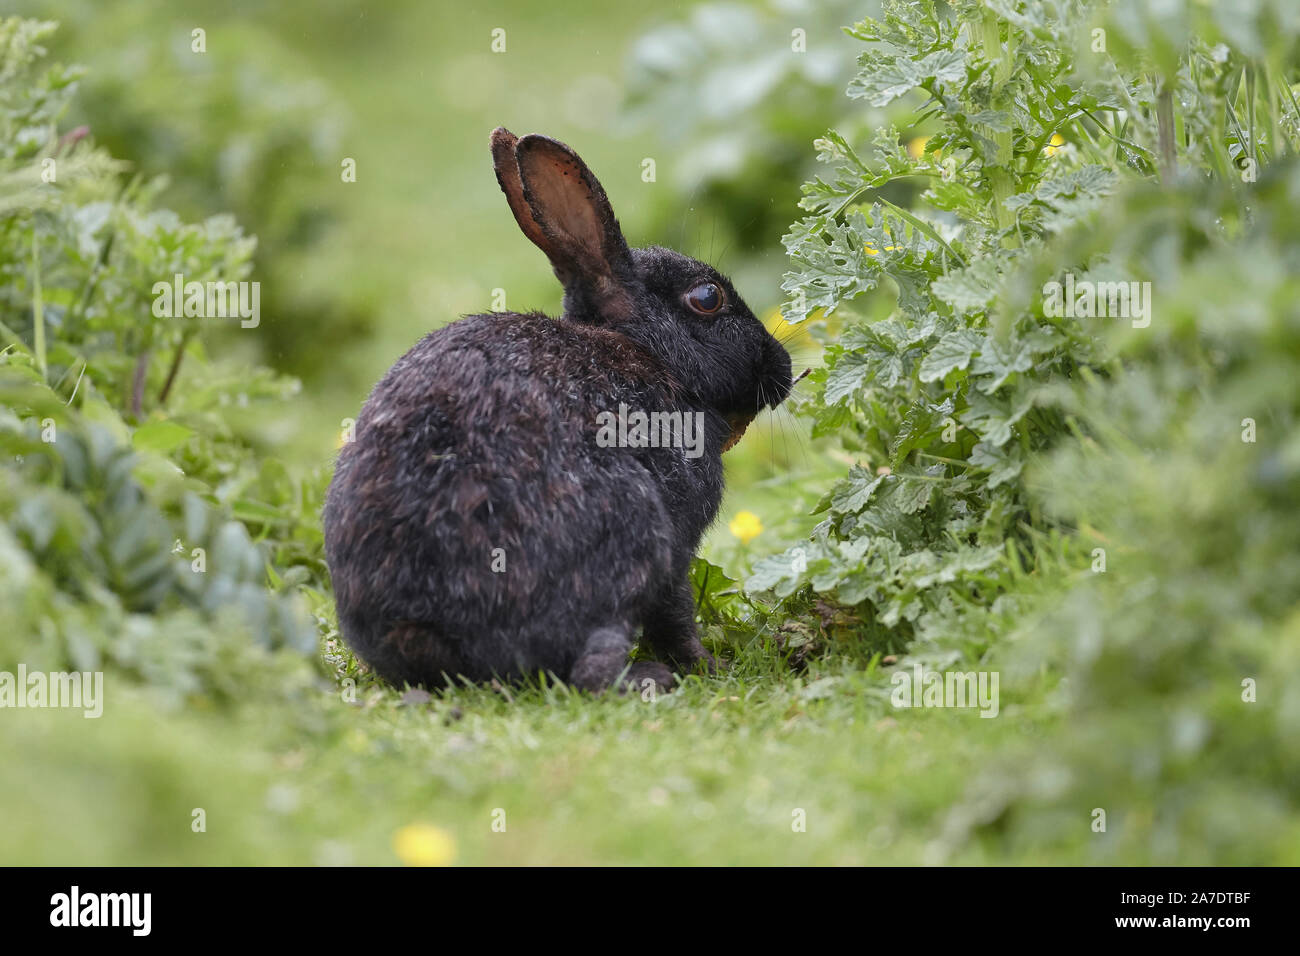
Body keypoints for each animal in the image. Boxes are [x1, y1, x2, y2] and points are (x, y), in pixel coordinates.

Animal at [325, 128, 790, 697]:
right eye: (708, 297)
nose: (783, 366)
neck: (651, 354)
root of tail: (422, 631)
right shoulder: (676, 541)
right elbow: (675, 611)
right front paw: (707, 665)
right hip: (629, 528)